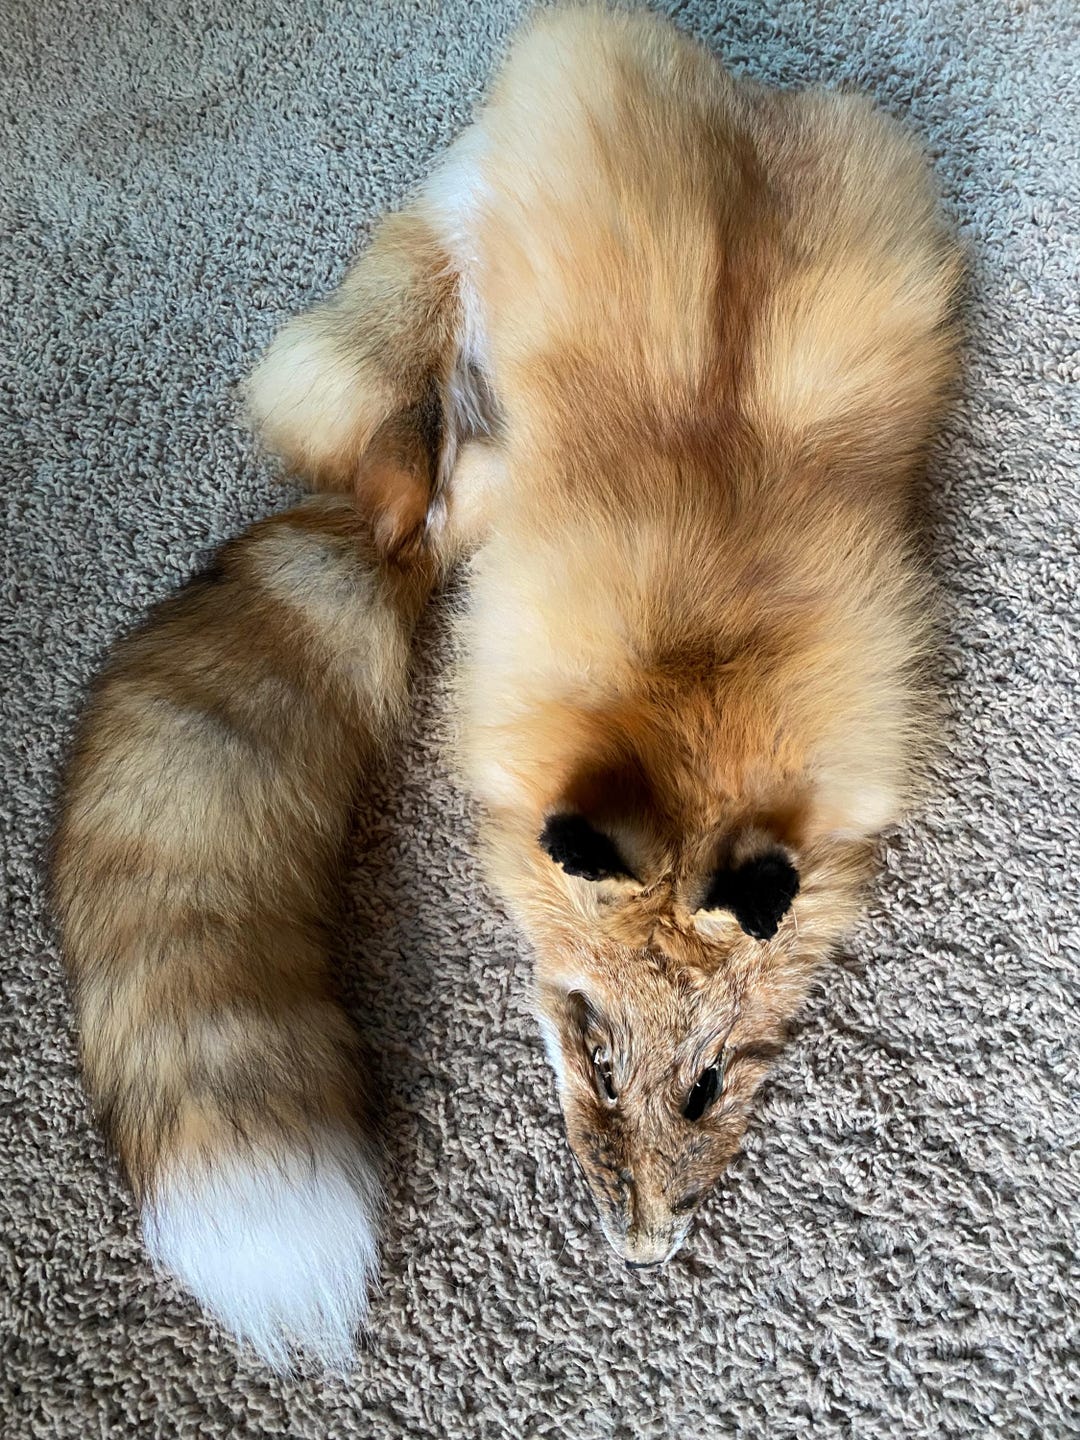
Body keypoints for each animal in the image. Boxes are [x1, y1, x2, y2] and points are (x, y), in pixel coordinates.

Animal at [51, 5, 960, 1368]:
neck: (697, 681)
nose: (641, 1253)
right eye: (596, 1057)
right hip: (403, 337)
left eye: (707, 1084)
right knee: (411, 467)